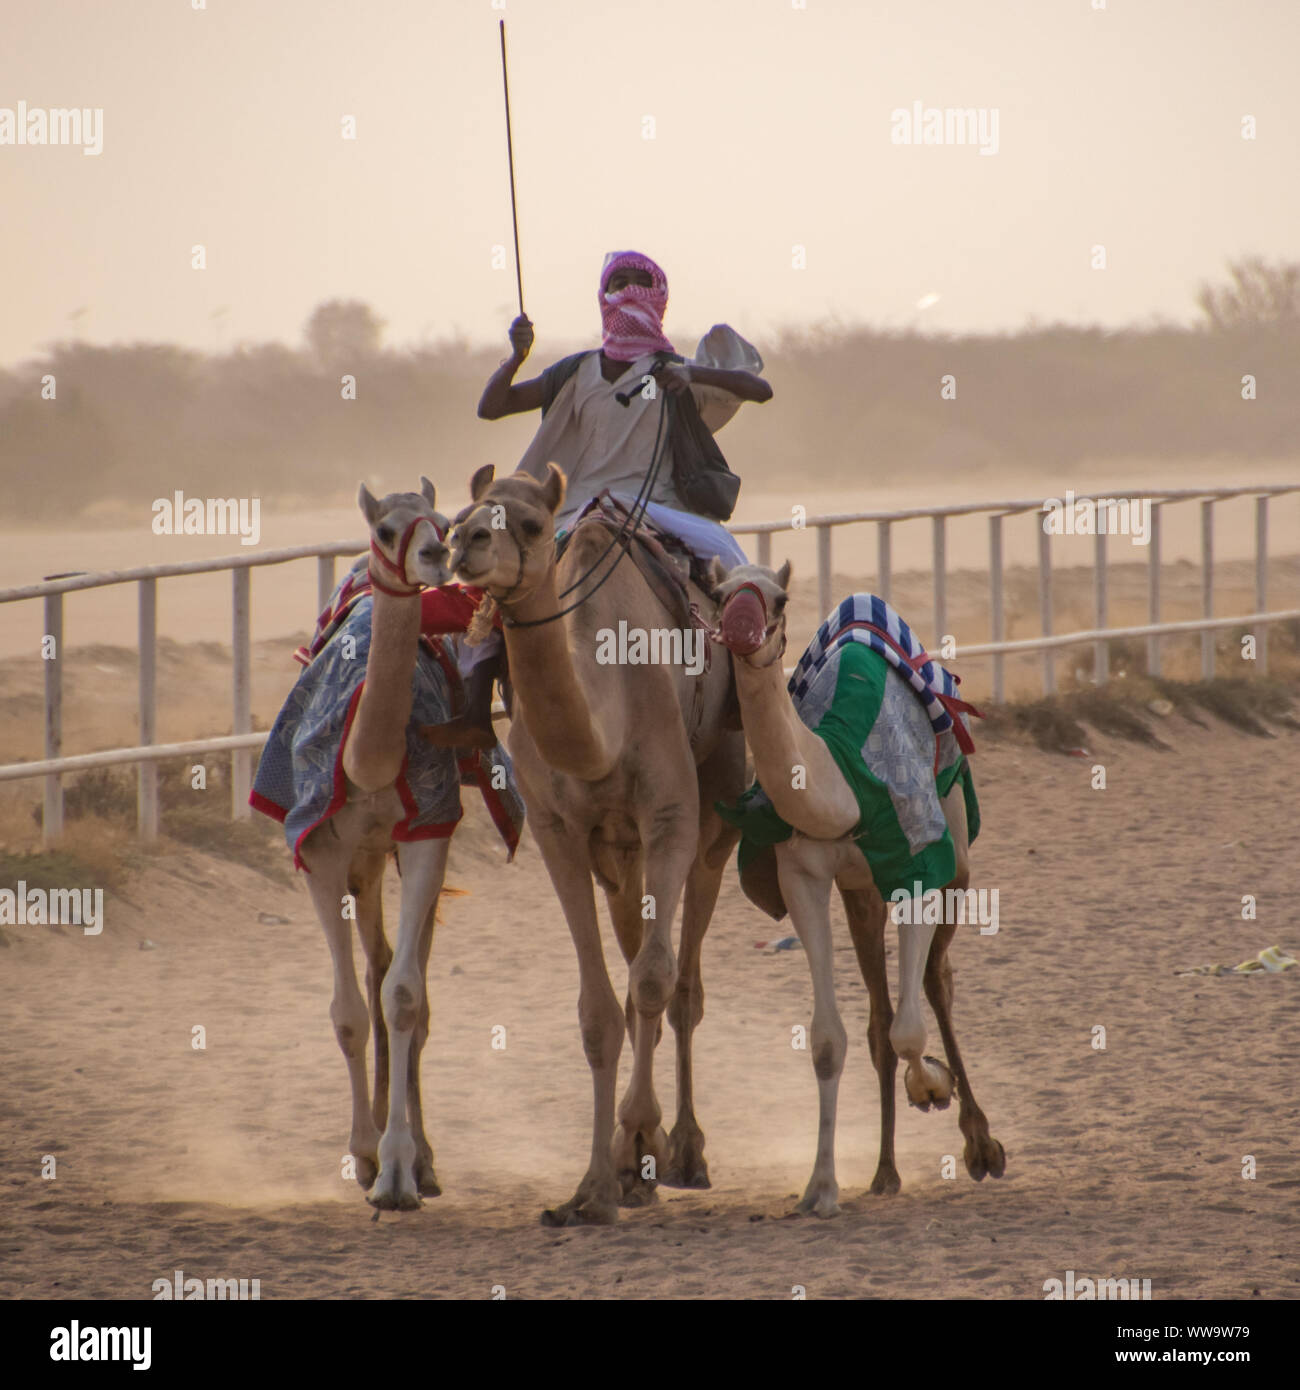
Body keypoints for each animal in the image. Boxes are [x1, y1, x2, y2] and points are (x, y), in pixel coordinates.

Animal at [449, 464, 745, 1225]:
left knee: (683, 983)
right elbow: (598, 1010)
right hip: (620, 860)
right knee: (640, 966)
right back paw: (638, 1157)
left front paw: (640, 1140)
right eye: (462, 515)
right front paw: (596, 1183)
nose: (465, 545)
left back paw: (686, 1151)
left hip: (716, 819)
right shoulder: (558, 833)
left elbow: (654, 980)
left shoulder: (671, 815)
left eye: (528, 524)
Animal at [709, 559, 1005, 1216]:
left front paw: (934, 1086)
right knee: (879, 1015)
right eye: (718, 594)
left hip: (957, 857)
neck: (843, 777)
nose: (740, 629)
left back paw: (979, 1141)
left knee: (935, 982)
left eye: (779, 598)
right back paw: (885, 1171)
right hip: (861, 892)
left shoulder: (921, 863)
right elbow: (829, 1039)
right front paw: (820, 1186)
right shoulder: (805, 879)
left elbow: (911, 1027)